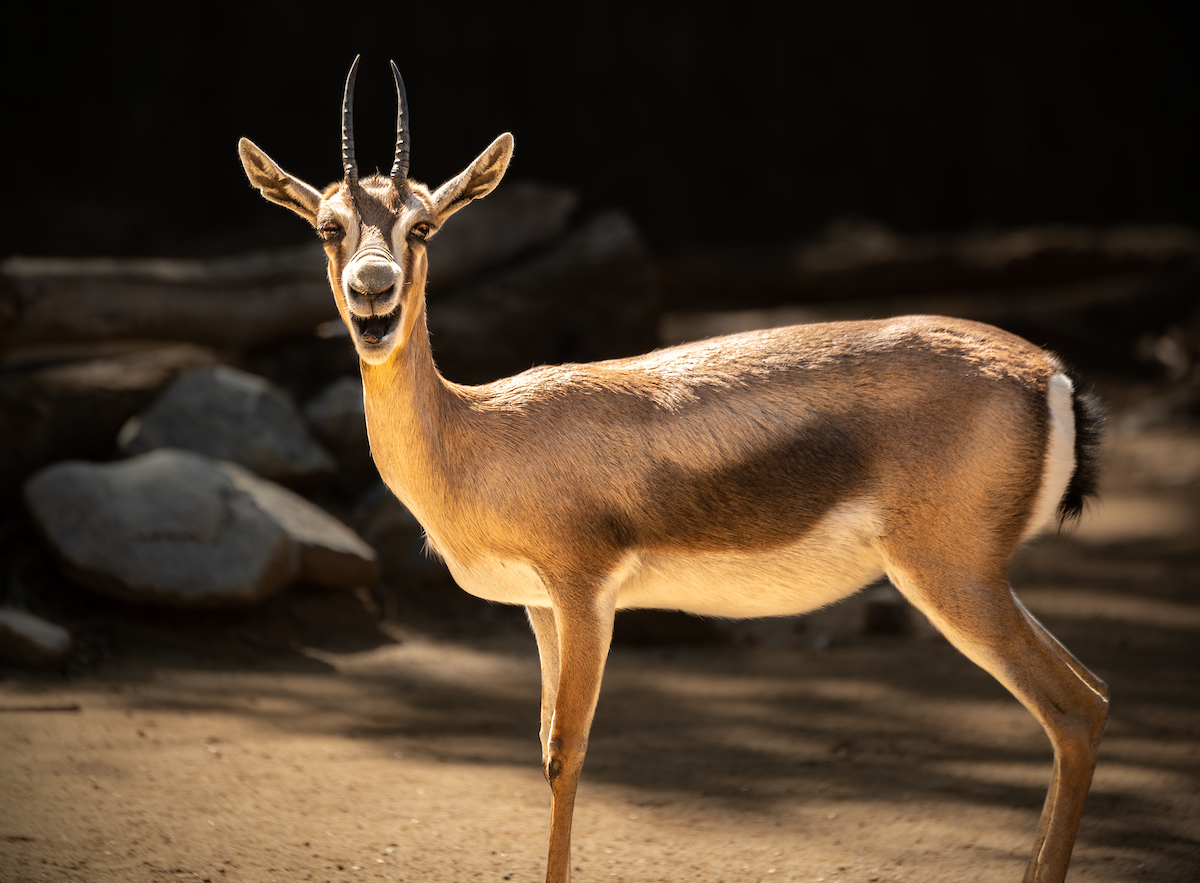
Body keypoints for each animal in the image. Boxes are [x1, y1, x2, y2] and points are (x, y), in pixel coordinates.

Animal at [239, 57, 1108, 883]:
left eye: (421, 224)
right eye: (328, 225)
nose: (373, 291)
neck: (478, 432)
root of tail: (1048, 373)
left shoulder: (586, 594)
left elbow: (568, 752)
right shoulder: (538, 607)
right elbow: (545, 743)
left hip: (950, 575)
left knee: (1072, 707)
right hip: (974, 579)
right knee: (1089, 700)